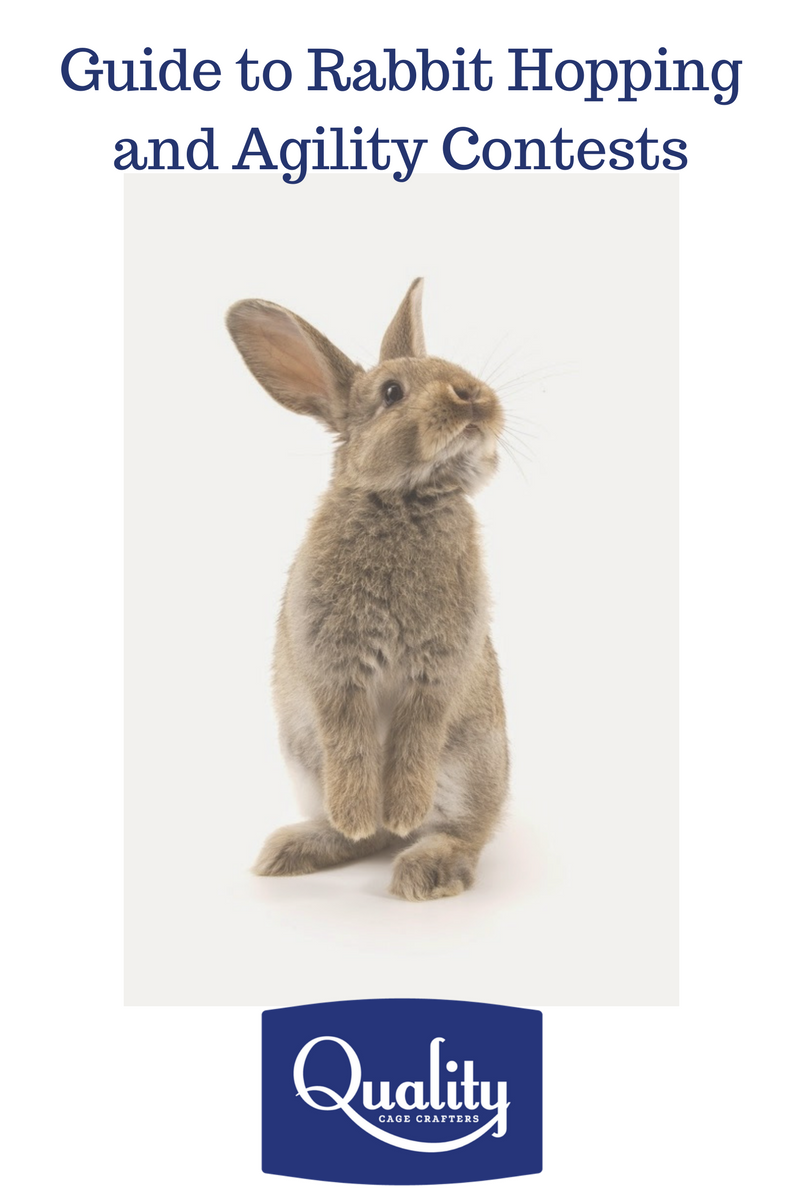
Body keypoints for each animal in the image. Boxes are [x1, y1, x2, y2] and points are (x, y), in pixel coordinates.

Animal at [226, 279, 508, 900]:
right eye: (392, 392)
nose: (473, 395)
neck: (405, 500)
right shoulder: (334, 666)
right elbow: (351, 741)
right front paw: (360, 812)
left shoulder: (438, 668)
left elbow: (416, 735)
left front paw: (402, 809)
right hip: (304, 756)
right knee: (368, 837)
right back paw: (310, 844)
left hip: (473, 764)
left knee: (464, 831)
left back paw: (423, 864)